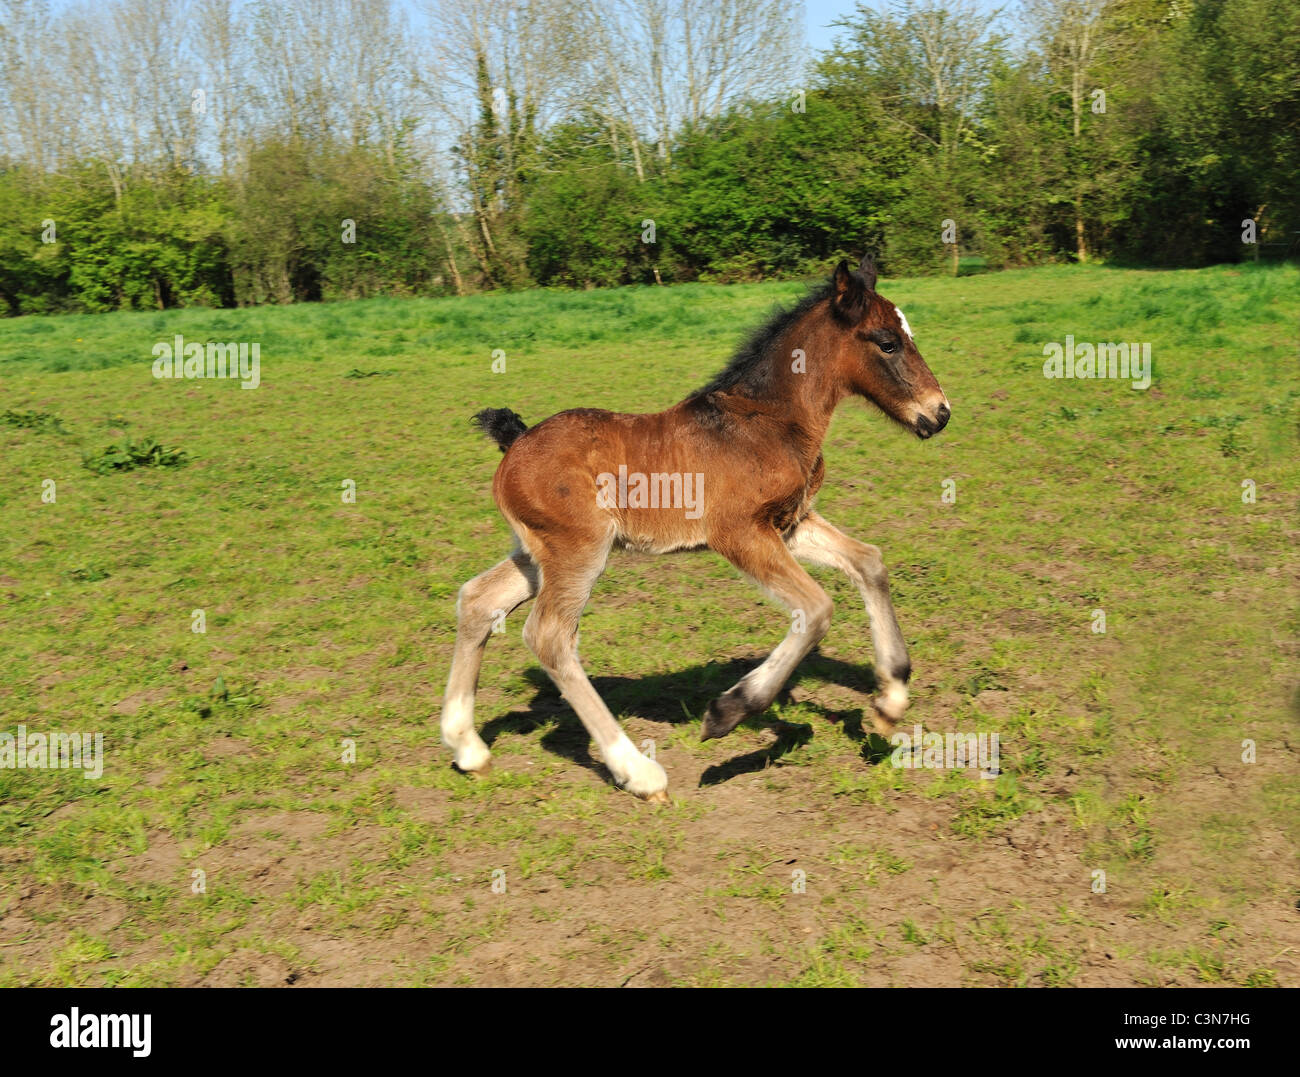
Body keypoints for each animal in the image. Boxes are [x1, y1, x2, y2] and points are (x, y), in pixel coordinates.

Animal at [441, 253, 950, 802]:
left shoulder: (790, 524)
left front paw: (889, 702)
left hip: (538, 554)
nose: (939, 413)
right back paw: (640, 774)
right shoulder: (740, 534)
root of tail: (513, 442)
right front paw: (728, 711)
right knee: (550, 637)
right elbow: (816, 610)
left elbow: (869, 562)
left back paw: (469, 749)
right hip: (579, 551)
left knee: (478, 600)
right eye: (887, 342)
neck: (769, 420)